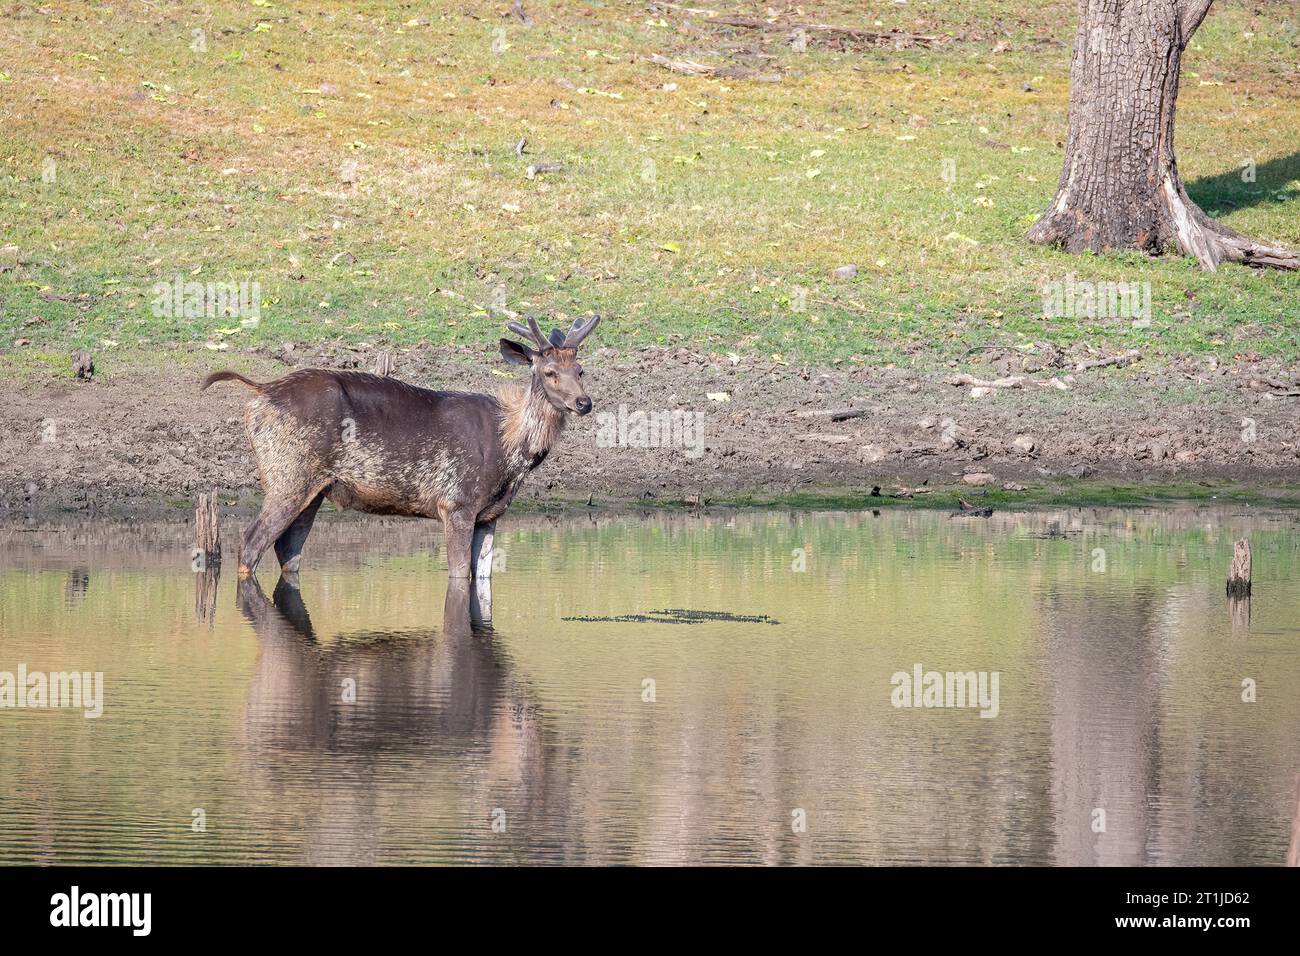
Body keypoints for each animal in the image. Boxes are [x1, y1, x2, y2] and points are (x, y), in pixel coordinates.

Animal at [202, 315, 599, 583]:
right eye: (549, 372)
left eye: (580, 370)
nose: (584, 403)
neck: (510, 452)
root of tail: (259, 391)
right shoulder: (456, 502)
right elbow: (459, 574)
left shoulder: (491, 514)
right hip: (287, 475)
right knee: (252, 541)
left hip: (312, 488)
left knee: (288, 550)